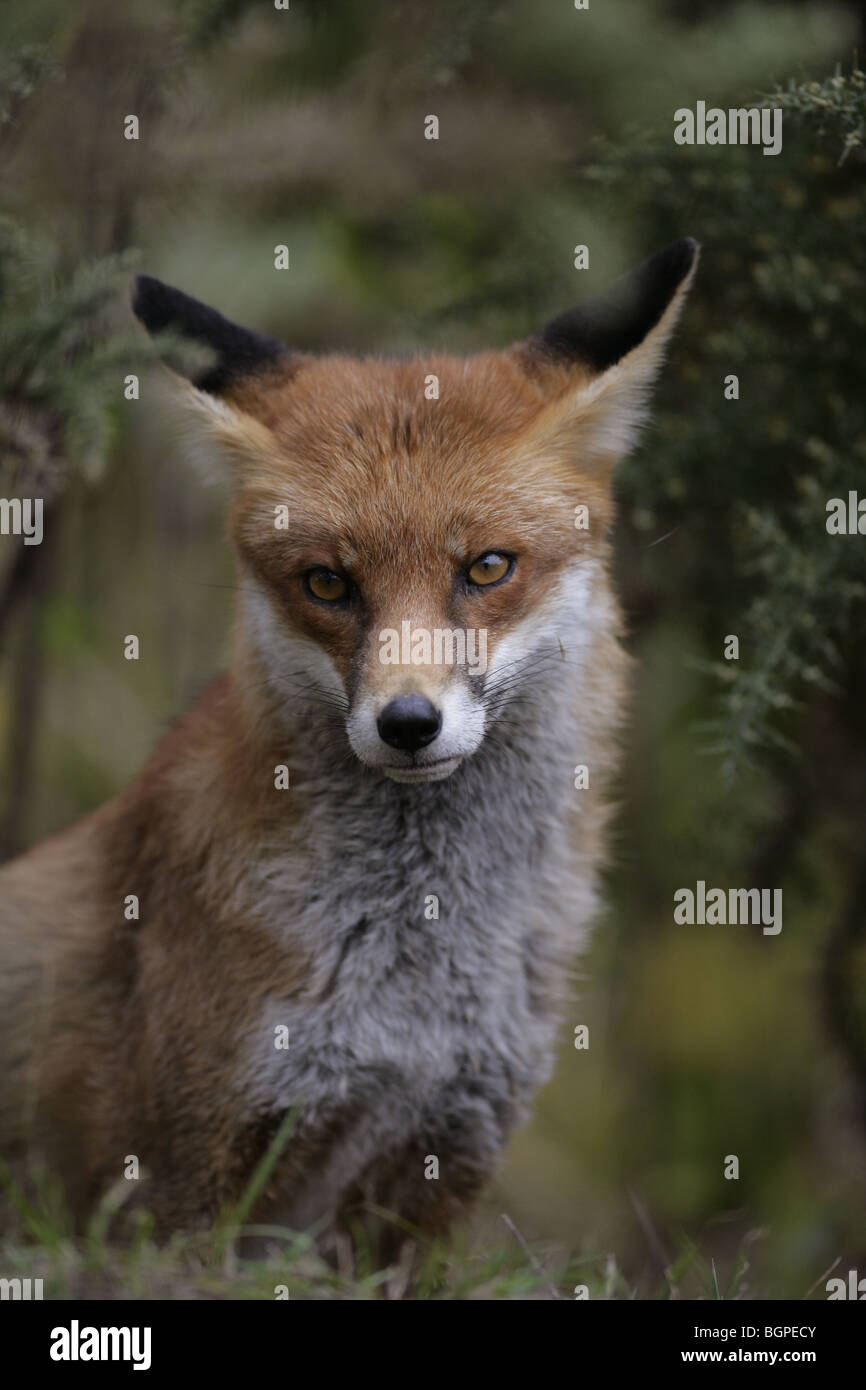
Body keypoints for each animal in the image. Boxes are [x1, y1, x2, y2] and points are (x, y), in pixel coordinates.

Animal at [0, 238, 698, 1257]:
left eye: (488, 566)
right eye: (327, 583)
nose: (407, 722)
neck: (421, 962)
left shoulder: (444, 1151)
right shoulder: (176, 1175)